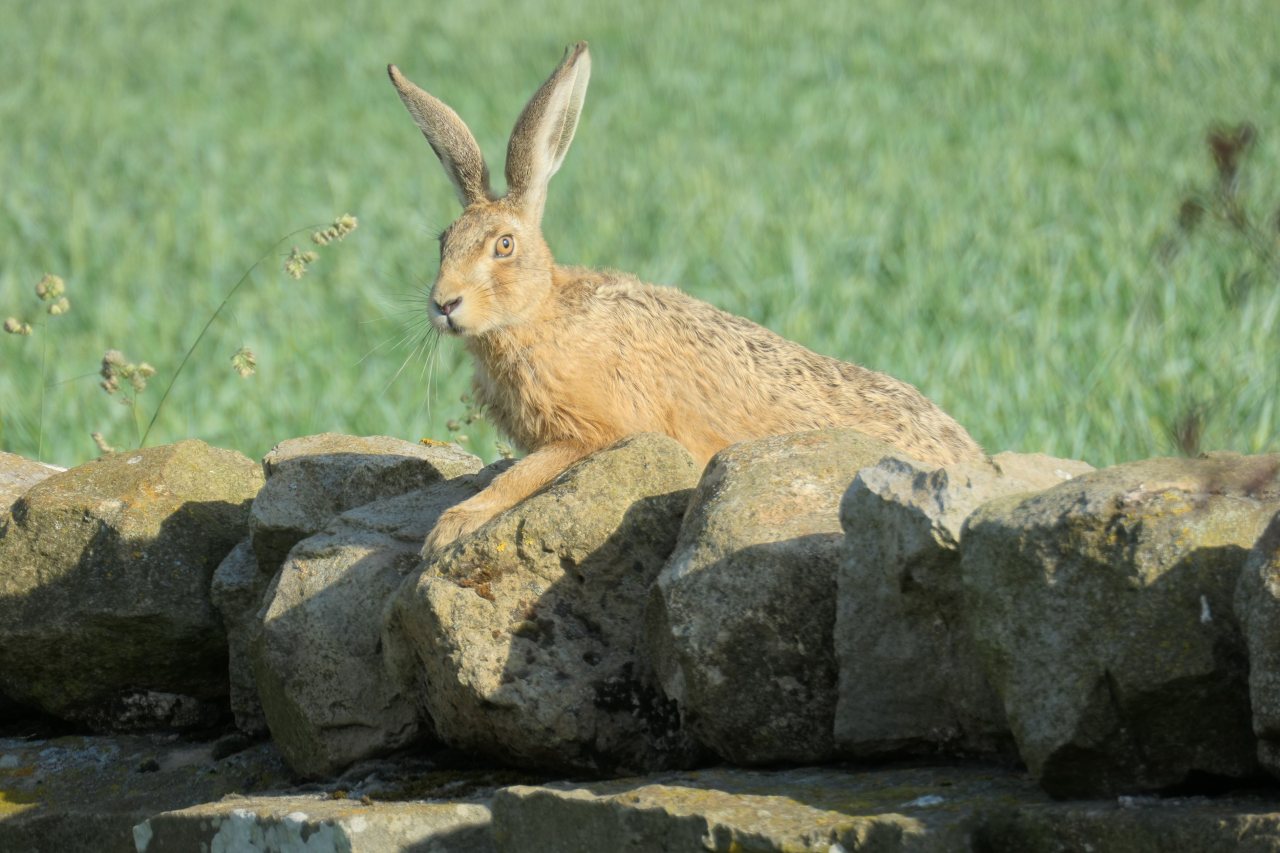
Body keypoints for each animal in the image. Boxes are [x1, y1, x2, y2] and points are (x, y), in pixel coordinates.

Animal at [388, 42, 986, 552]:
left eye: (504, 246)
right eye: (443, 242)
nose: (444, 304)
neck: (540, 314)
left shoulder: (597, 432)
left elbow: (523, 475)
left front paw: (449, 527)